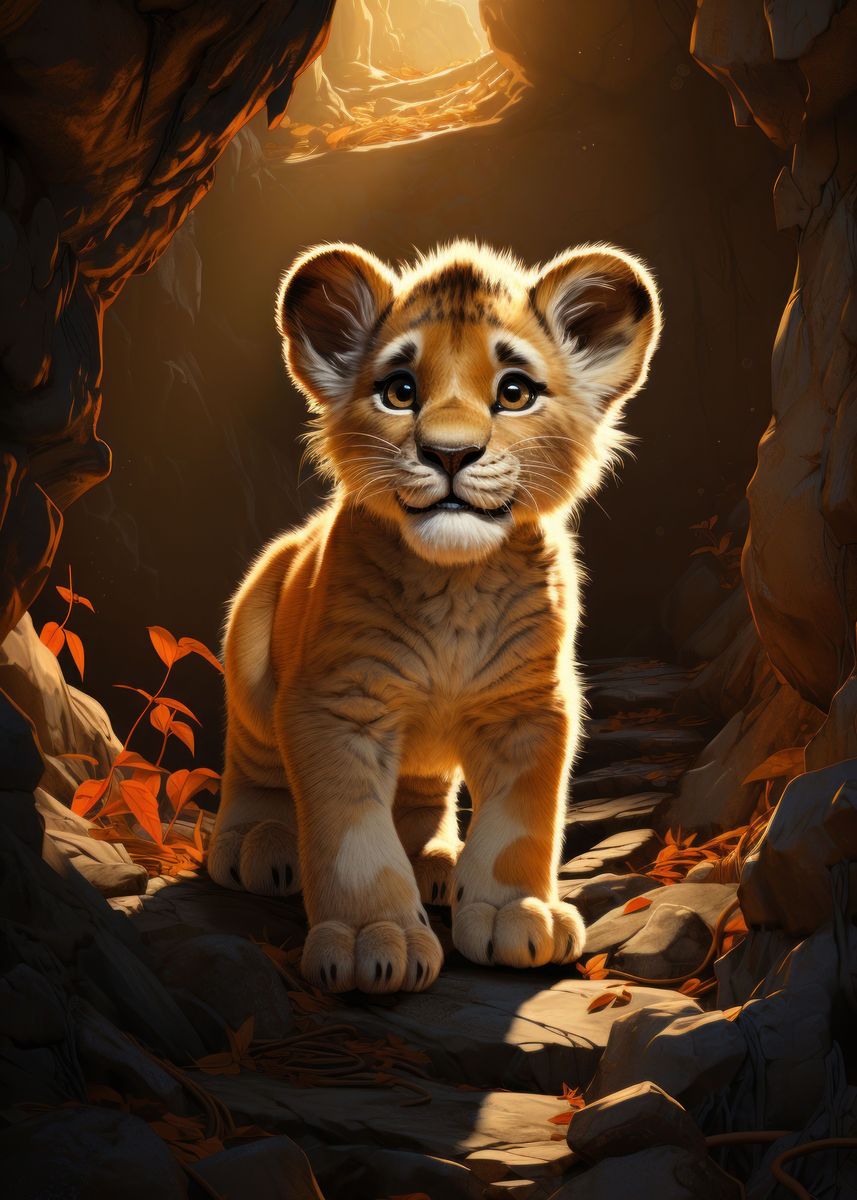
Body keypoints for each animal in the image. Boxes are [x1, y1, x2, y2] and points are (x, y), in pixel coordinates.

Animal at [208, 239, 661, 994]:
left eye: (514, 392)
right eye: (400, 391)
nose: (449, 452)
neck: (456, 585)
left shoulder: (528, 709)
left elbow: (520, 825)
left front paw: (518, 915)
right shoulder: (337, 704)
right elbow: (352, 838)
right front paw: (370, 939)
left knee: (422, 793)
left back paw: (437, 864)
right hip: (249, 660)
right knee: (256, 767)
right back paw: (260, 845)